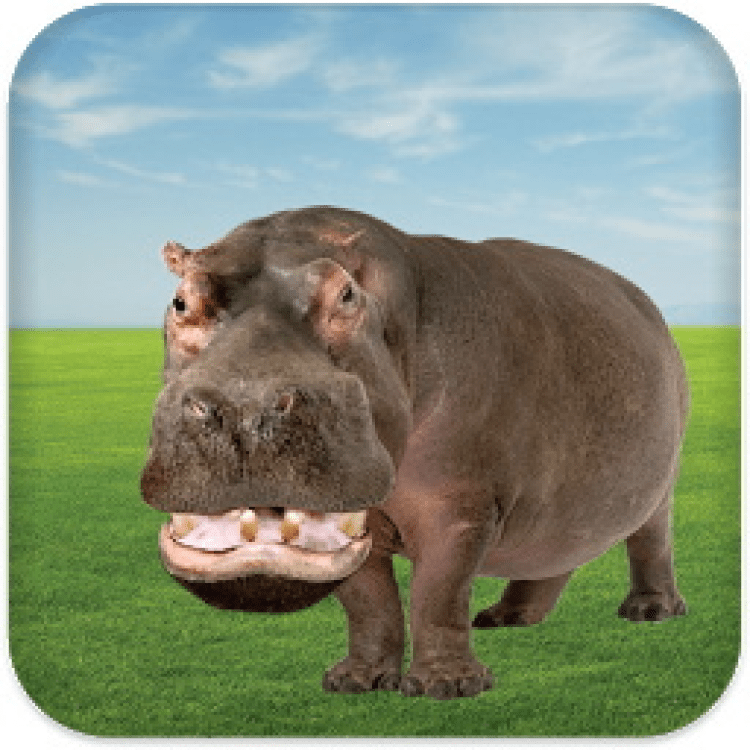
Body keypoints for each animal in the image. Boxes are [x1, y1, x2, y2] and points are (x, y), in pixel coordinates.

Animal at [141, 205, 688, 699]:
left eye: (345, 295)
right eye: (180, 301)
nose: (245, 408)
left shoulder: (459, 504)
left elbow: (438, 591)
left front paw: (448, 686)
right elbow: (369, 601)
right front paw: (356, 680)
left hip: (662, 482)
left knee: (651, 540)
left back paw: (650, 610)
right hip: (564, 504)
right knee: (554, 551)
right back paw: (505, 618)